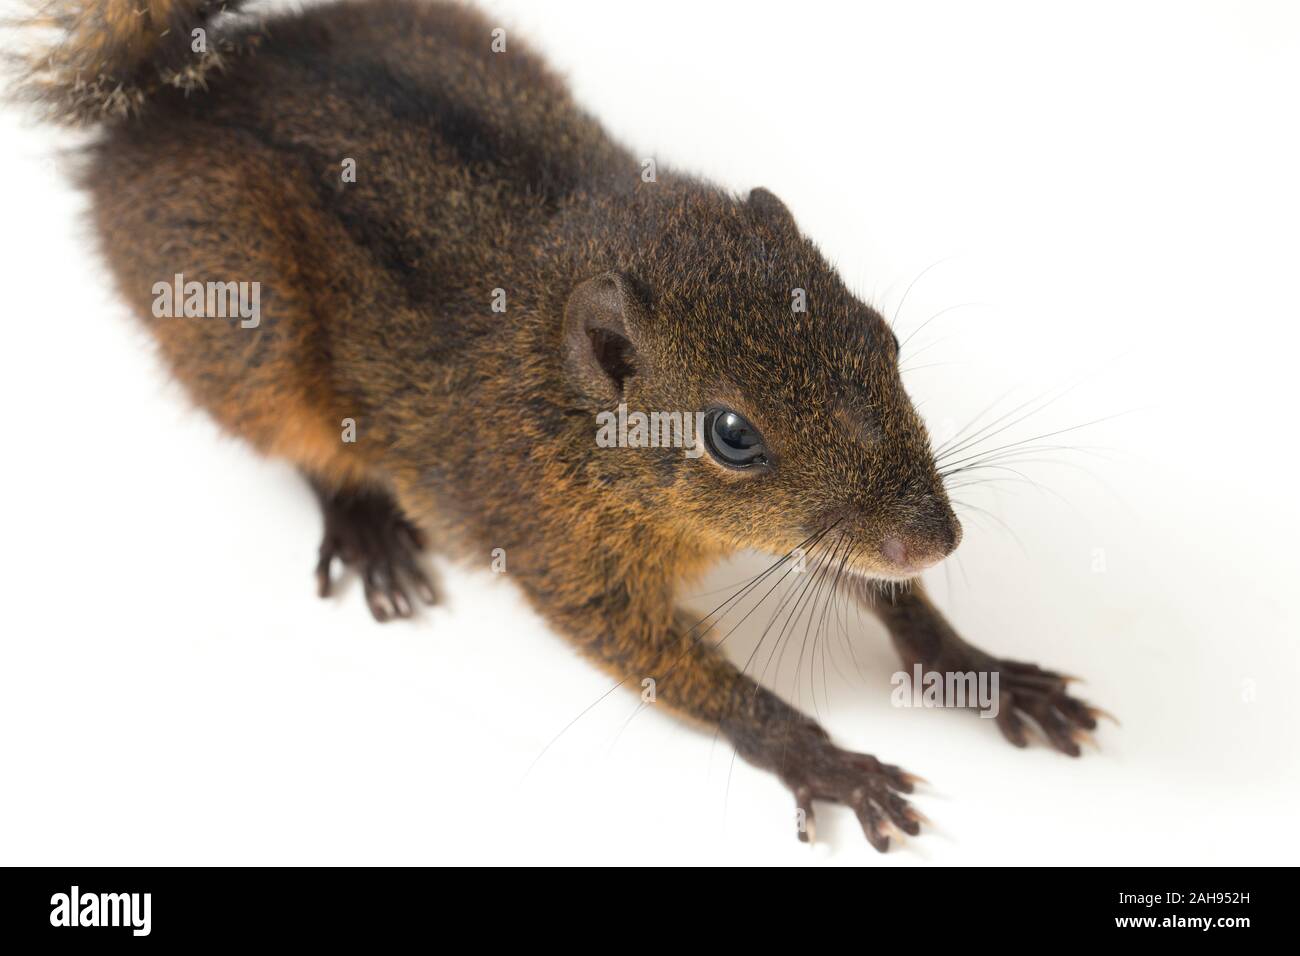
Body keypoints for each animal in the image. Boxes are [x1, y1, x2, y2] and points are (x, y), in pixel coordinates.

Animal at [11, 0, 1104, 849]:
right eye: (732, 435)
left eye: (883, 338)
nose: (936, 536)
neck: (563, 403)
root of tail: (172, 101)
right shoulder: (553, 548)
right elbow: (670, 664)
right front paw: (817, 757)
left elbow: (877, 587)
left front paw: (981, 672)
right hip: (242, 331)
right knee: (297, 444)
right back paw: (366, 528)